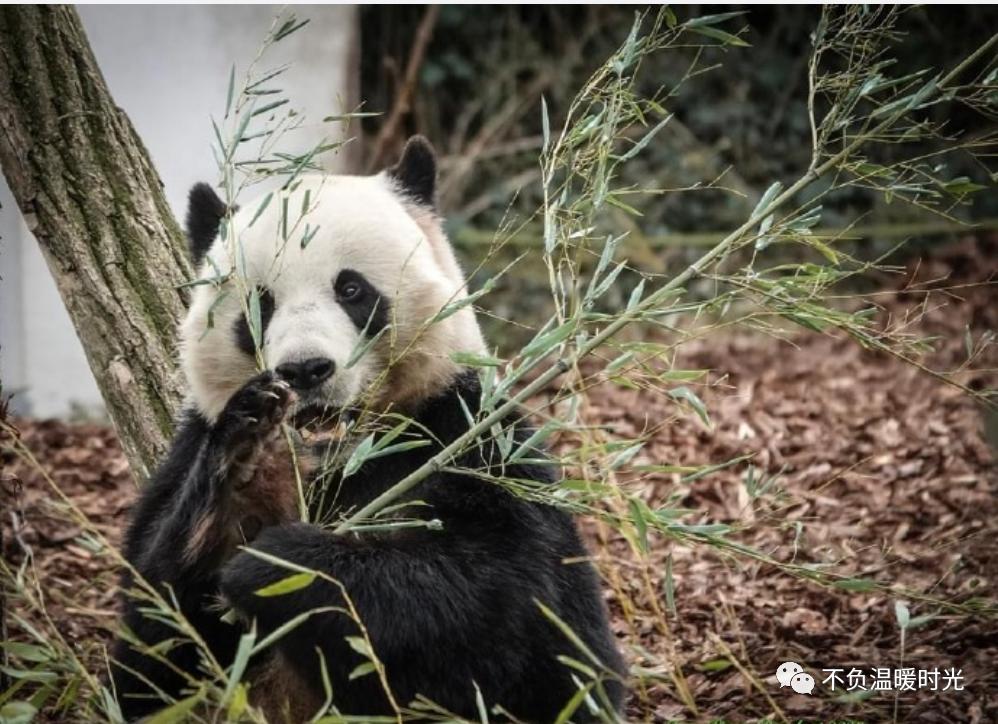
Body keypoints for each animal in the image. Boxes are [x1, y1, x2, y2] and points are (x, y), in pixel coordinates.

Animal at [110, 136, 626, 722]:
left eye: (352, 289)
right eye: (260, 304)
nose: (304, 370)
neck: (339, 449)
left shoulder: (467, 432)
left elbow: (500, 601)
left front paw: (277, 560)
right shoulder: (190, 449)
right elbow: (156, 628)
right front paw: (246, 464)